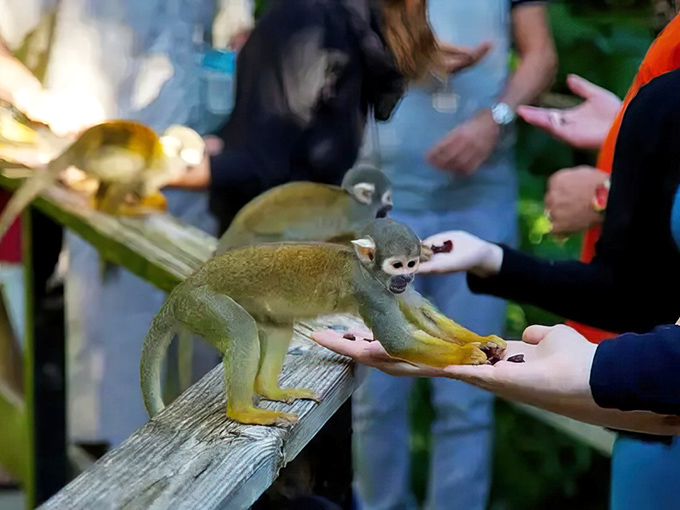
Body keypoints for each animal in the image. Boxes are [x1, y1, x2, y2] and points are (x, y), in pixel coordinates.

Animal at [0, 119, 205, 242]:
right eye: (192, 151)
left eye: (201, 150)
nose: (200, 159)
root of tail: (81, 144)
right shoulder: (162, 166)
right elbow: (143, 185)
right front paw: (152, 200)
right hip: (97, 160)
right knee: (134, 167)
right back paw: (113, 209)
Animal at [141, 217, 505, 426]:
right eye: (397, 265)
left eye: (411, 264)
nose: (405, 279)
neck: (368, 271)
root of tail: (181, 289)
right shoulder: (369, 290)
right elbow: (398, 341)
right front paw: (467, 354)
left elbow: (423, 316)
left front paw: (483, 340)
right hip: (203, 304)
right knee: (242, 330)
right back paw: (243, 411)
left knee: (278, 328)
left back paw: (268, 390)